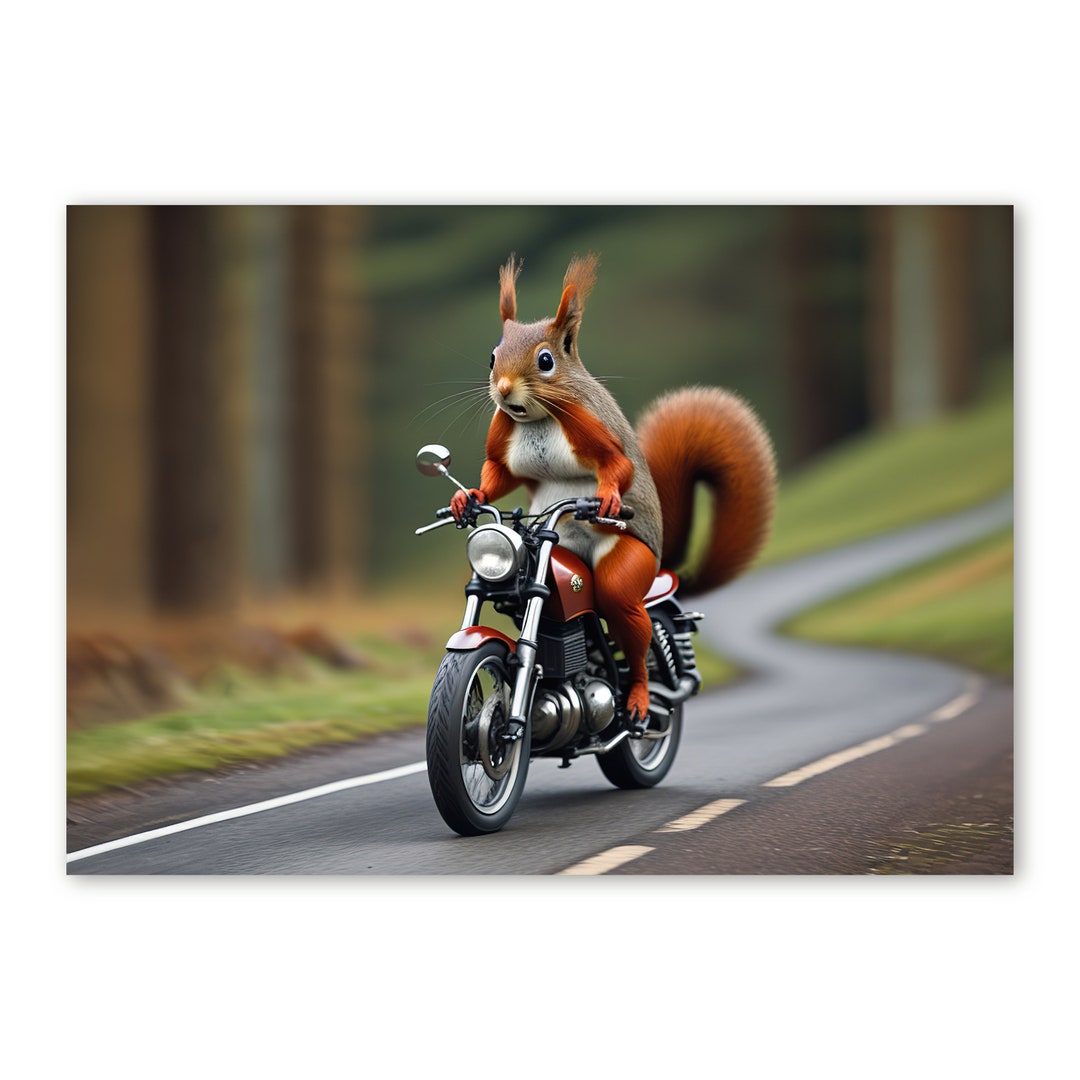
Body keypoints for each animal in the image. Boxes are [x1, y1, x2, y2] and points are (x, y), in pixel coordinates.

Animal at [450, 252, 777, 726]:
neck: (537, 418)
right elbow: (499, 473)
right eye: (492, 357)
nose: (505, 389)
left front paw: (608, 498)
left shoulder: (588, 424)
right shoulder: (503, 433)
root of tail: (667, 571)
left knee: (630, 620)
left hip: (631, 580)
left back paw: (640, 701)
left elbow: (618, 465)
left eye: (546, 360)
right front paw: (466, 499)